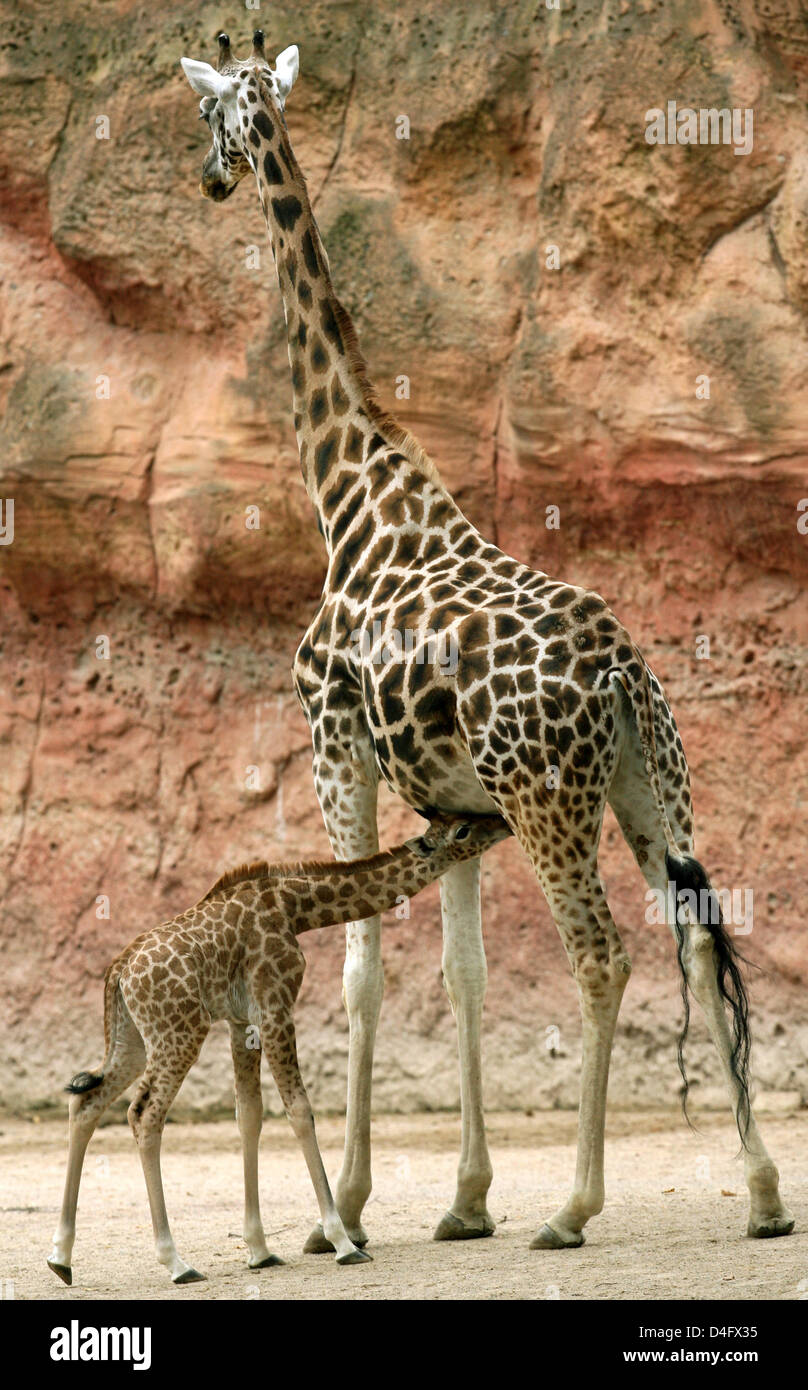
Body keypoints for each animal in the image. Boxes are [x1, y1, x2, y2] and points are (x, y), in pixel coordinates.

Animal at [47, 812, 510, 1286]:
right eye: (462, 830)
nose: (503, 824)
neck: (295, 905)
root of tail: (119, 971)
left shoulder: (242, 1020)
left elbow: (249, 1114)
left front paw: (260, 1250)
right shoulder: (275, 1004)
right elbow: (300, 1110)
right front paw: (342, 1242)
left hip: (133, 1042)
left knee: (86, 1103)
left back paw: (61, 1257)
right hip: (179, 1032)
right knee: (143, 1115)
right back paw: (176, 1262)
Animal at [179, 32, 794, 1253]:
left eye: (210, 117)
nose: (211, 181)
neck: (346, 492)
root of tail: (621, 667)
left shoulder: (334, 746)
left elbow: (362, 969)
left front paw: (342, 1213)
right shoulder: (454, 807)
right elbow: (460, 975)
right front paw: (462, 1199)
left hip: (551, 798)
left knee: (602, 954)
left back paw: (572, 1207)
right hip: (649, 787)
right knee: (699, 939)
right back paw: (759, 1197)